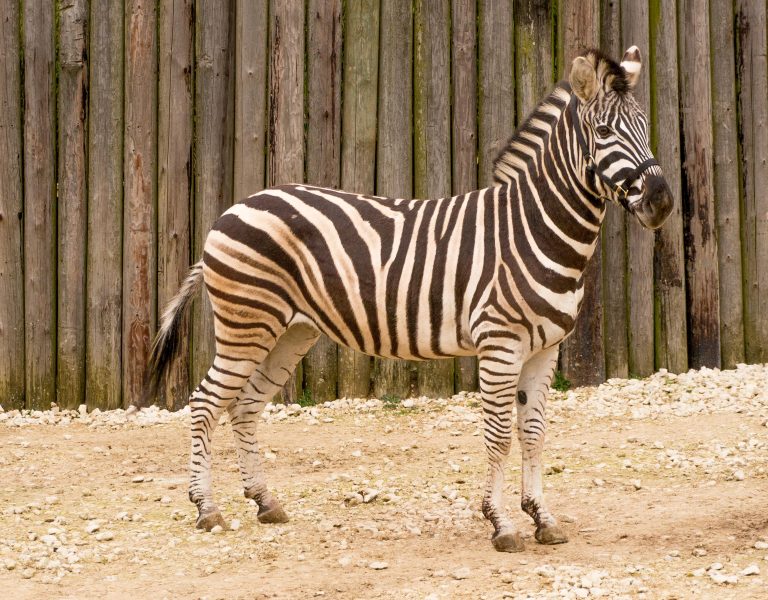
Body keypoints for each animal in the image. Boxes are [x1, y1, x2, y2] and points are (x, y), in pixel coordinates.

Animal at [138, 46, 673, 553]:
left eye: (646, 128)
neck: (533, 227)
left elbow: (535, 432)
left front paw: (543, 518)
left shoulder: (545, 349)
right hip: (245, 326)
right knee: (205, 402)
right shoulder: (500, 345)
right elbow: (499, 436)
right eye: (603, 131)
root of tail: (232, 209)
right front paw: (501, 525)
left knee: (245, 406)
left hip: (290, 331)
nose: (662, 202)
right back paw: (206, 509)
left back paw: (266, 502)